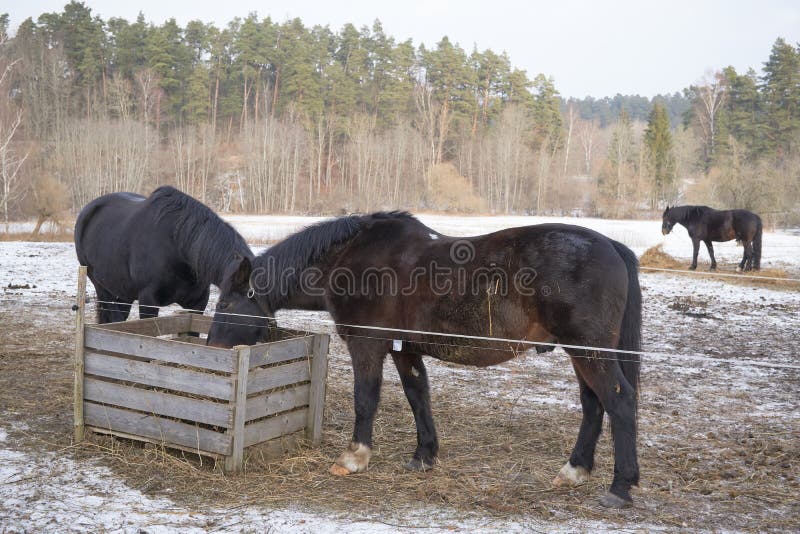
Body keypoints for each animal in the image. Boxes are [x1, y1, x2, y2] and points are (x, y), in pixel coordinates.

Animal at [207, 212, 642, 508]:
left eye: (225, 303)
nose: (213, 348)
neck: (350, 259)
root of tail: (612, 247)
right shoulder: (406, 350)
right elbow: (419, 396)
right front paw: (424, 455)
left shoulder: (367, 345)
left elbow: (366, 399)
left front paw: (354, 456)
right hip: (583, 354)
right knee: (593, 406)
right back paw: (575, 470)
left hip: (590, 352)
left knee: (619, 401)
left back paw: (620, 487)